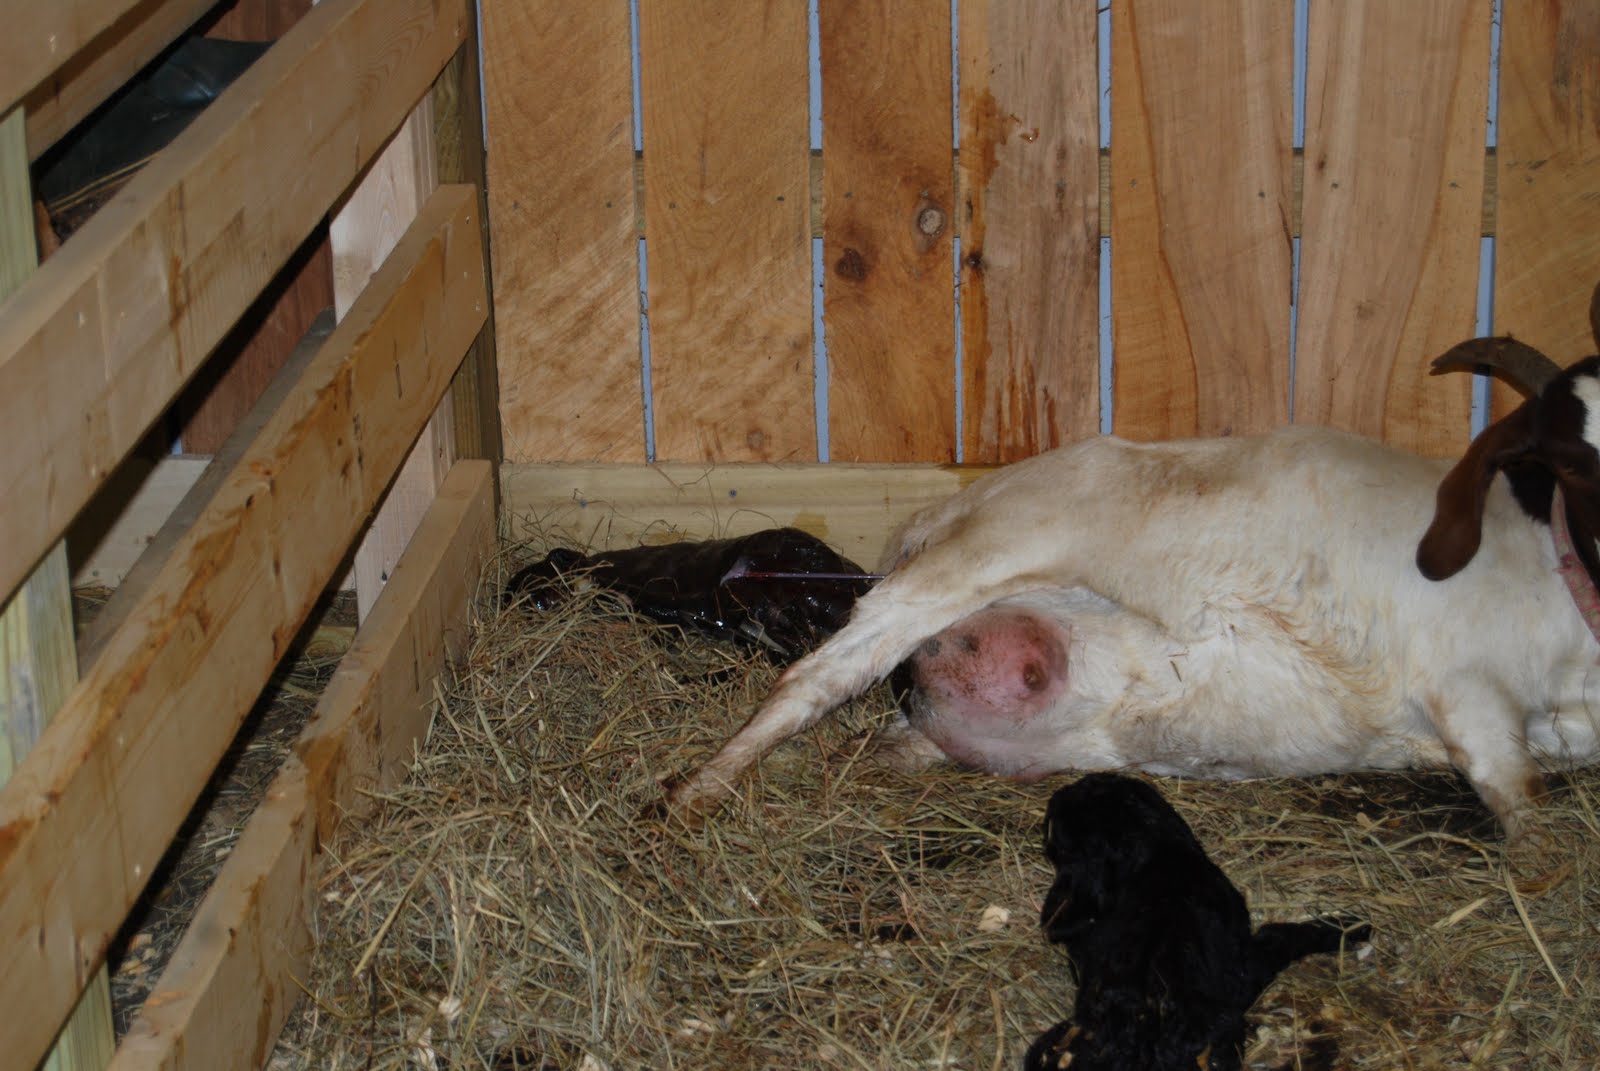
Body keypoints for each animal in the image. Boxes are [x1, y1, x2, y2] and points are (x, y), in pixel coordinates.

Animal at [664, 288, 1600, 841]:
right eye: (1574, 456)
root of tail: (943, 510)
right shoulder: (1467, 684)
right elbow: (1528, 812)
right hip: (983, 552)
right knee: (816, 677)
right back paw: (690, 793)